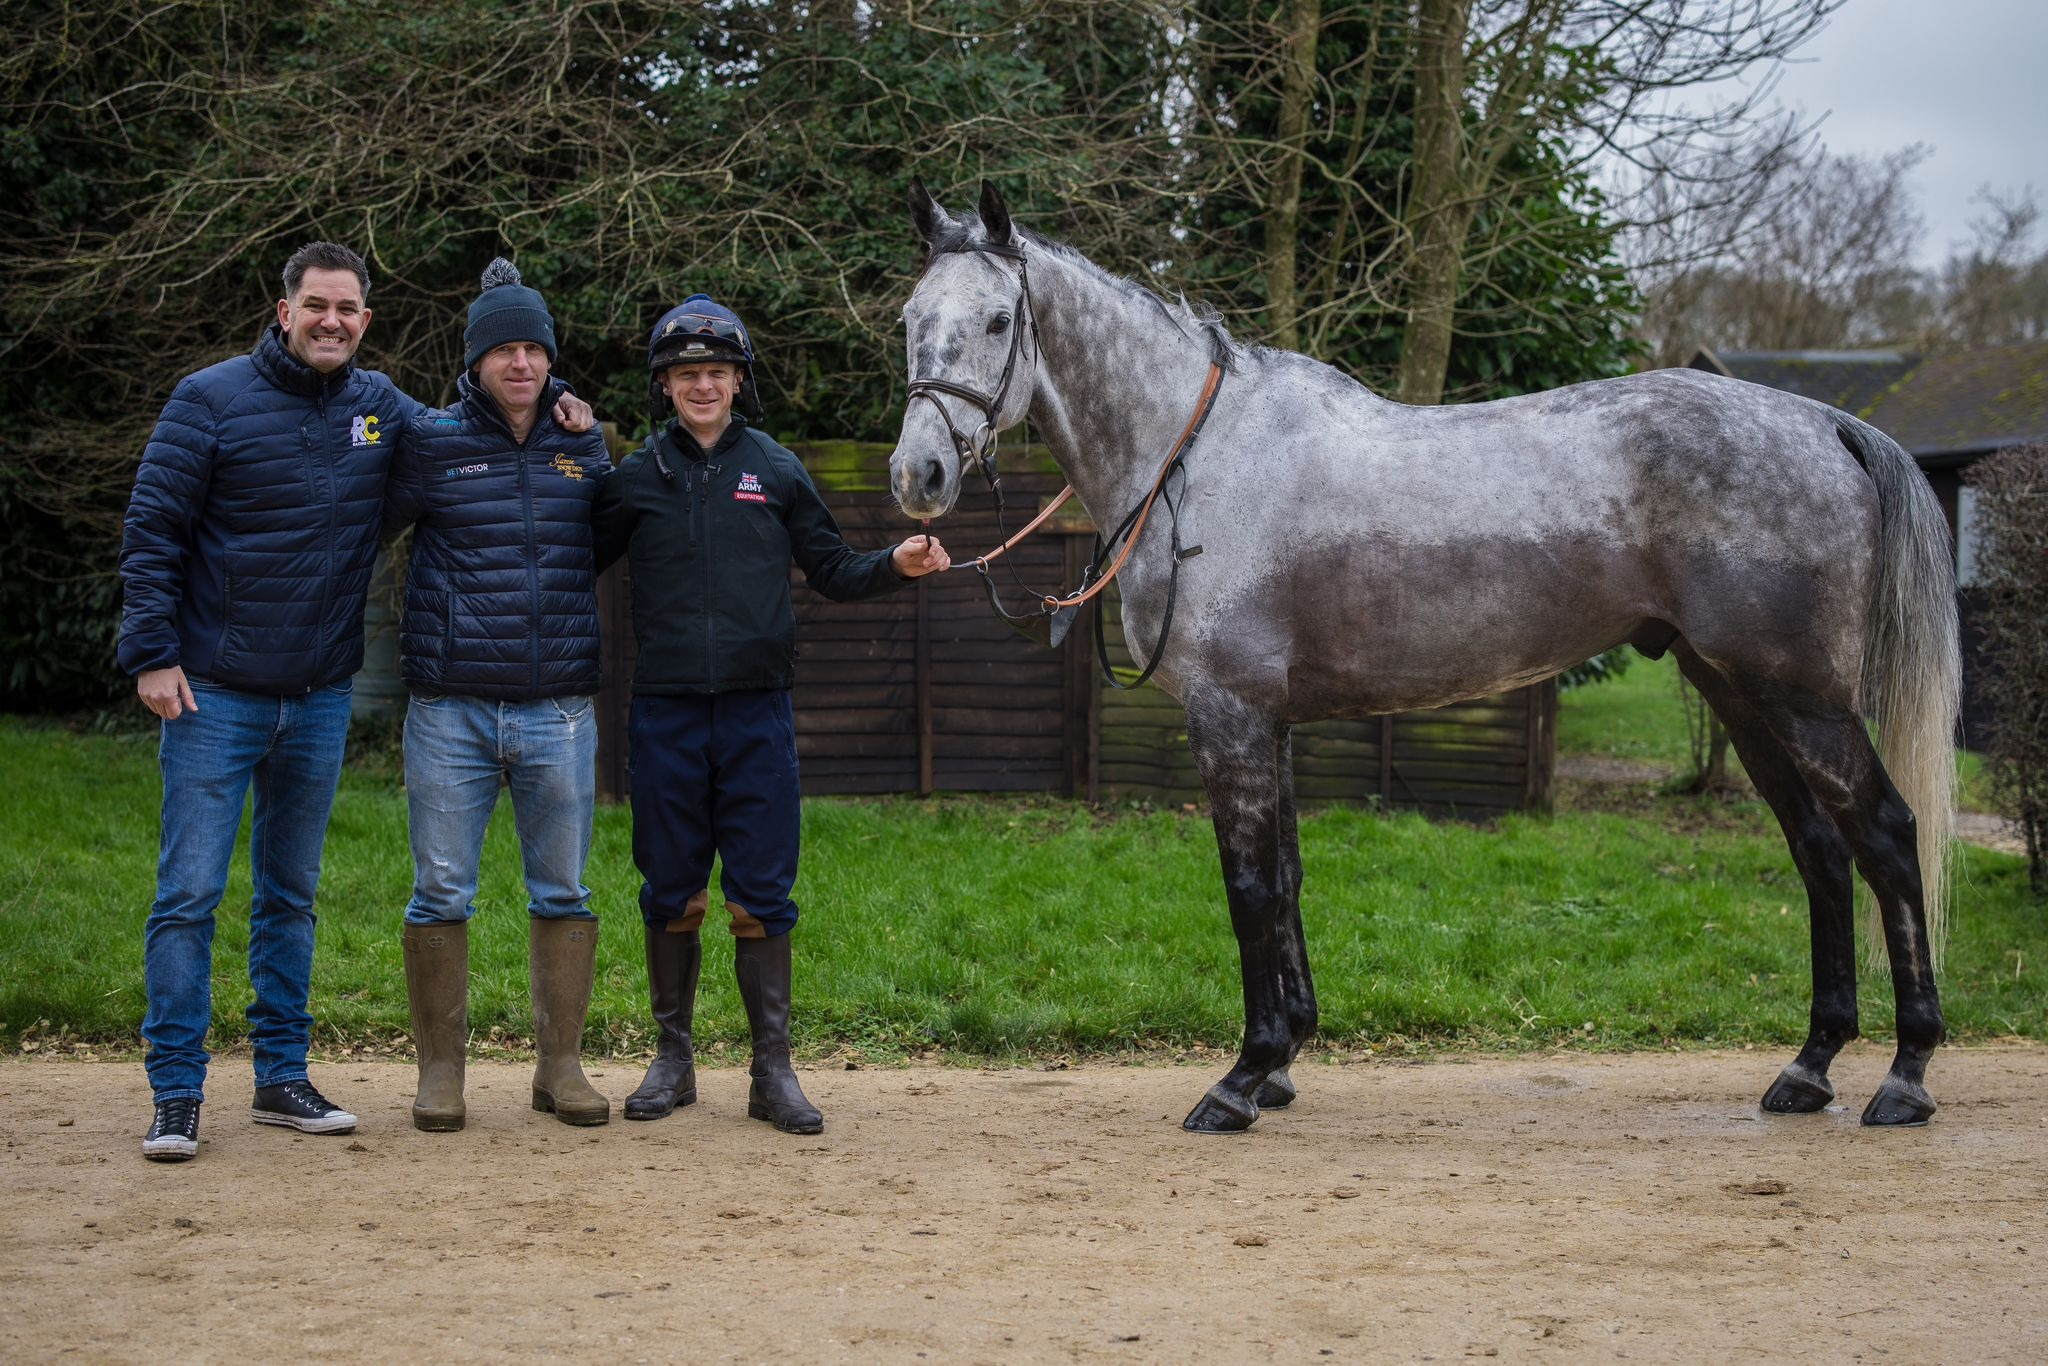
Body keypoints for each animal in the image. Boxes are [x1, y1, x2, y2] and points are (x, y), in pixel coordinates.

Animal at [887, 180, 1960, 1135]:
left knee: (1886, 836)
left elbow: (1249, 889)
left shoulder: (1230, 715)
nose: (917, 475)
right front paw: (1285, 1058)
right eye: (908, 319)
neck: (1196, 461)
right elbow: (1288, 879)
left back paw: (1904, 1074)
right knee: (1820, 851)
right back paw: (1810, 1066)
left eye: (997, 319)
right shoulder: (1271, 723)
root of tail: (1823, 422)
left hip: (1803, 700)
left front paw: (1241, 1077)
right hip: (1738, 694)